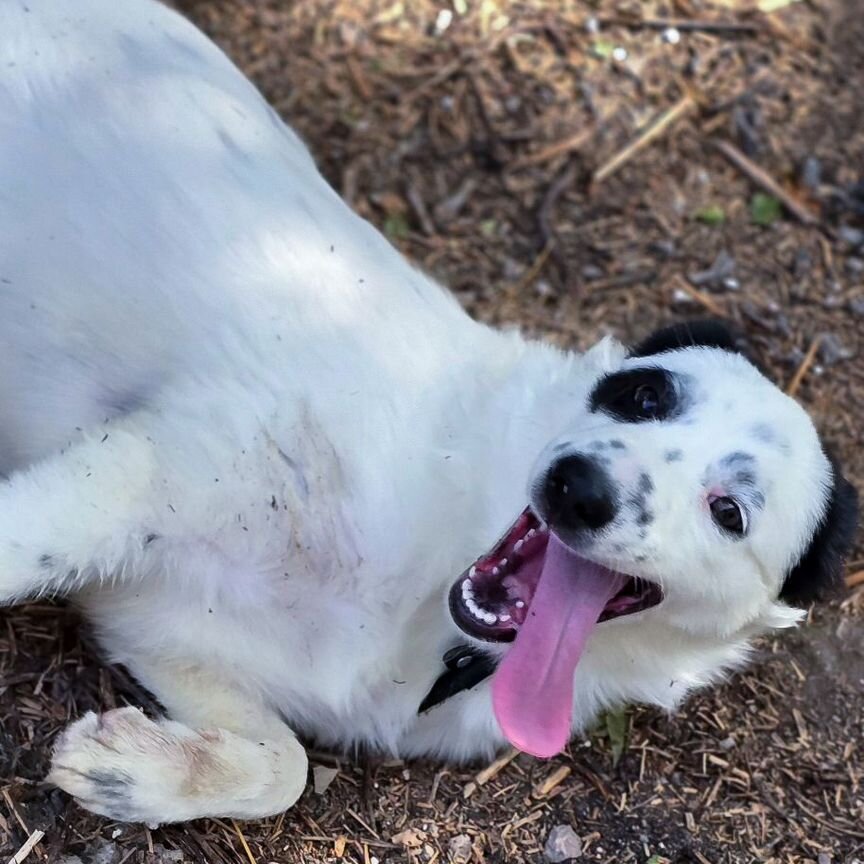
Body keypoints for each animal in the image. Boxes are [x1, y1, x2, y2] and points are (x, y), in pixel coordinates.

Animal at [0, 0, 856, 828]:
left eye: (729, 512)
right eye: (645, 397)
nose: (578, 487)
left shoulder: (154, 624)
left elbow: (284, 767)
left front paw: (131, 771)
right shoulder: (163, 463)